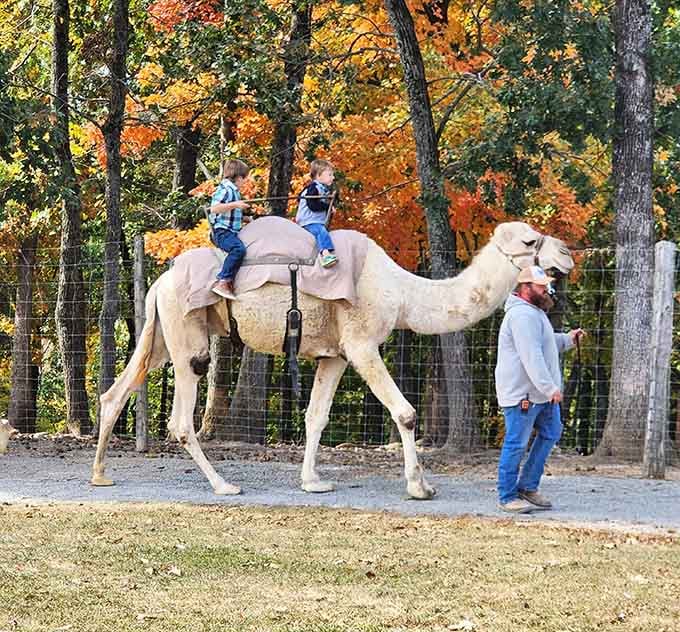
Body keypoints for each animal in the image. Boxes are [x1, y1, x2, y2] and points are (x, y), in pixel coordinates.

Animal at [91, 221, 574, 499]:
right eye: (531, 240)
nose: (567, 253)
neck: (401, 292)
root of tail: (159, 282)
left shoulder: (336, 354)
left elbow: (316, 416)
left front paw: (313, 481)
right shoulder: (361, 343)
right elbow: (406, 412)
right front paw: (420, 486)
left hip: (160, 335)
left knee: (115, 393)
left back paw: (100, 474)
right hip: (187, 336)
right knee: (180, 418)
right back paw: (224, 485)